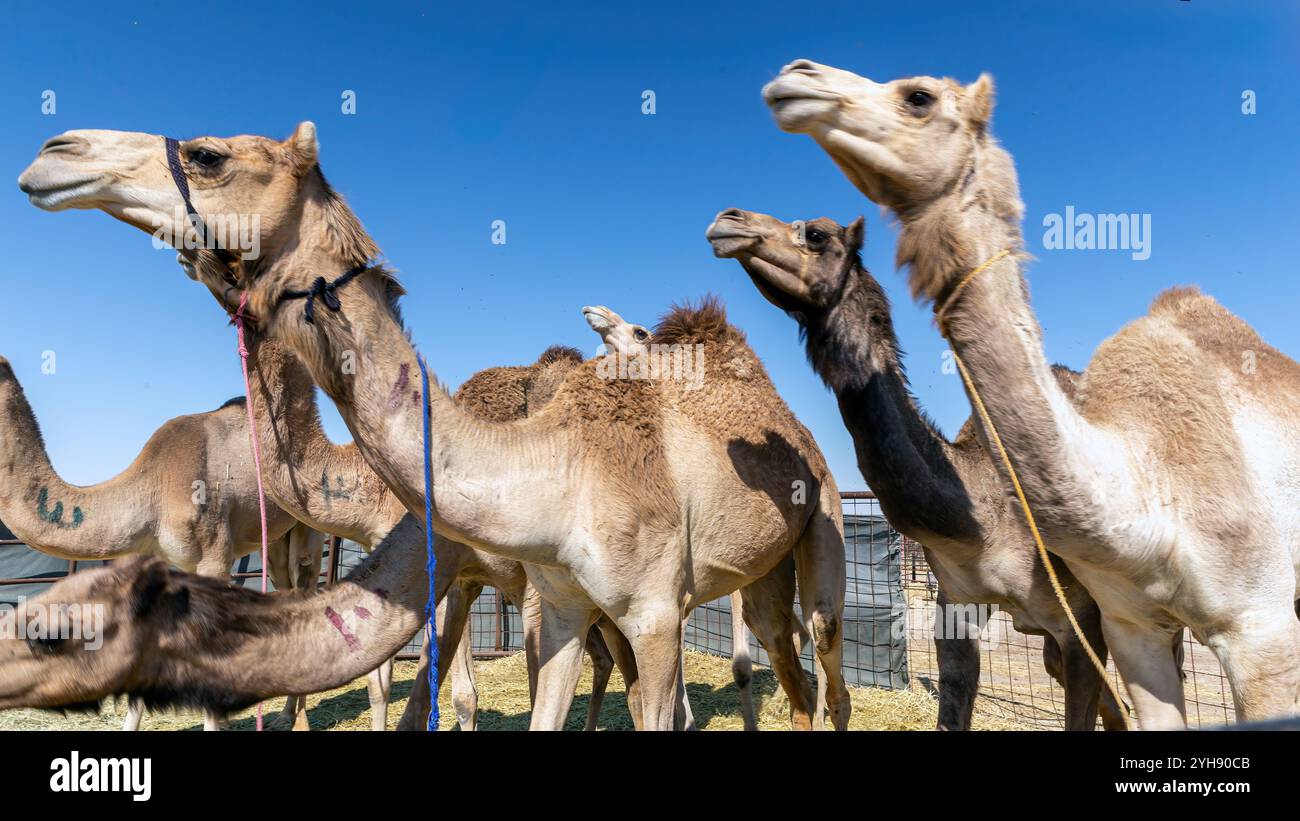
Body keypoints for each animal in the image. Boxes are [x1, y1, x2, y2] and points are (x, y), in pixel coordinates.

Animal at [0, 354, 324, 730]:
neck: (153, 489)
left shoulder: (215, 556)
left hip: (308, 525)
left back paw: (295, 716)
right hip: (276, 540)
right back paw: (285, 714)